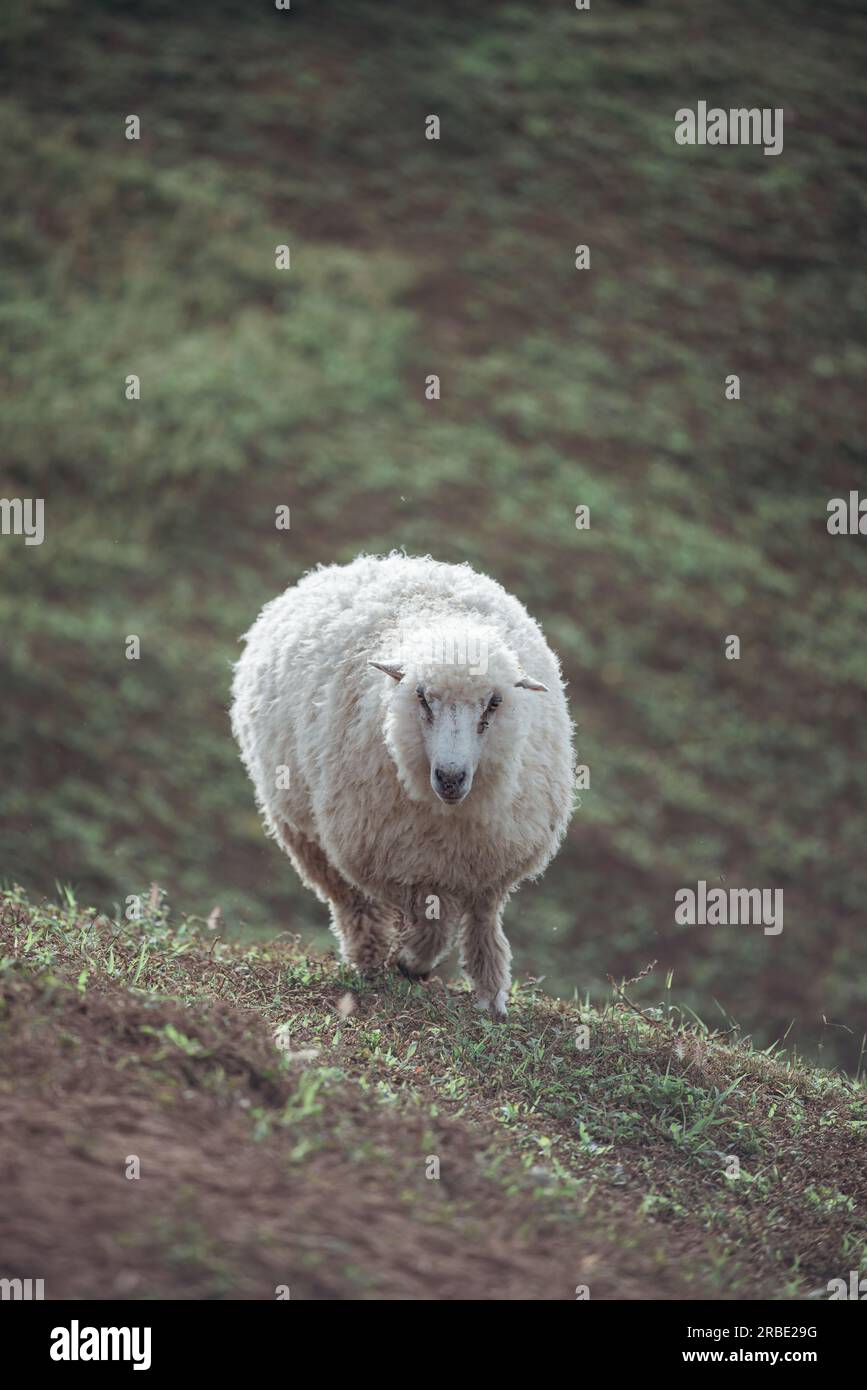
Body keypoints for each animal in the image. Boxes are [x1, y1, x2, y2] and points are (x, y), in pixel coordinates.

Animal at [230, 553, 574, 1017]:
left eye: (494, 703)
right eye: (423, 698)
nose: (450, 777)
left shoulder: (491, 864)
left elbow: (482, 923)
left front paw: (491, 996)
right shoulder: (396, 862)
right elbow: (431, 918)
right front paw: (413, 961)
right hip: (303, 830)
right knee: (350, 902)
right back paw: (371, 960)